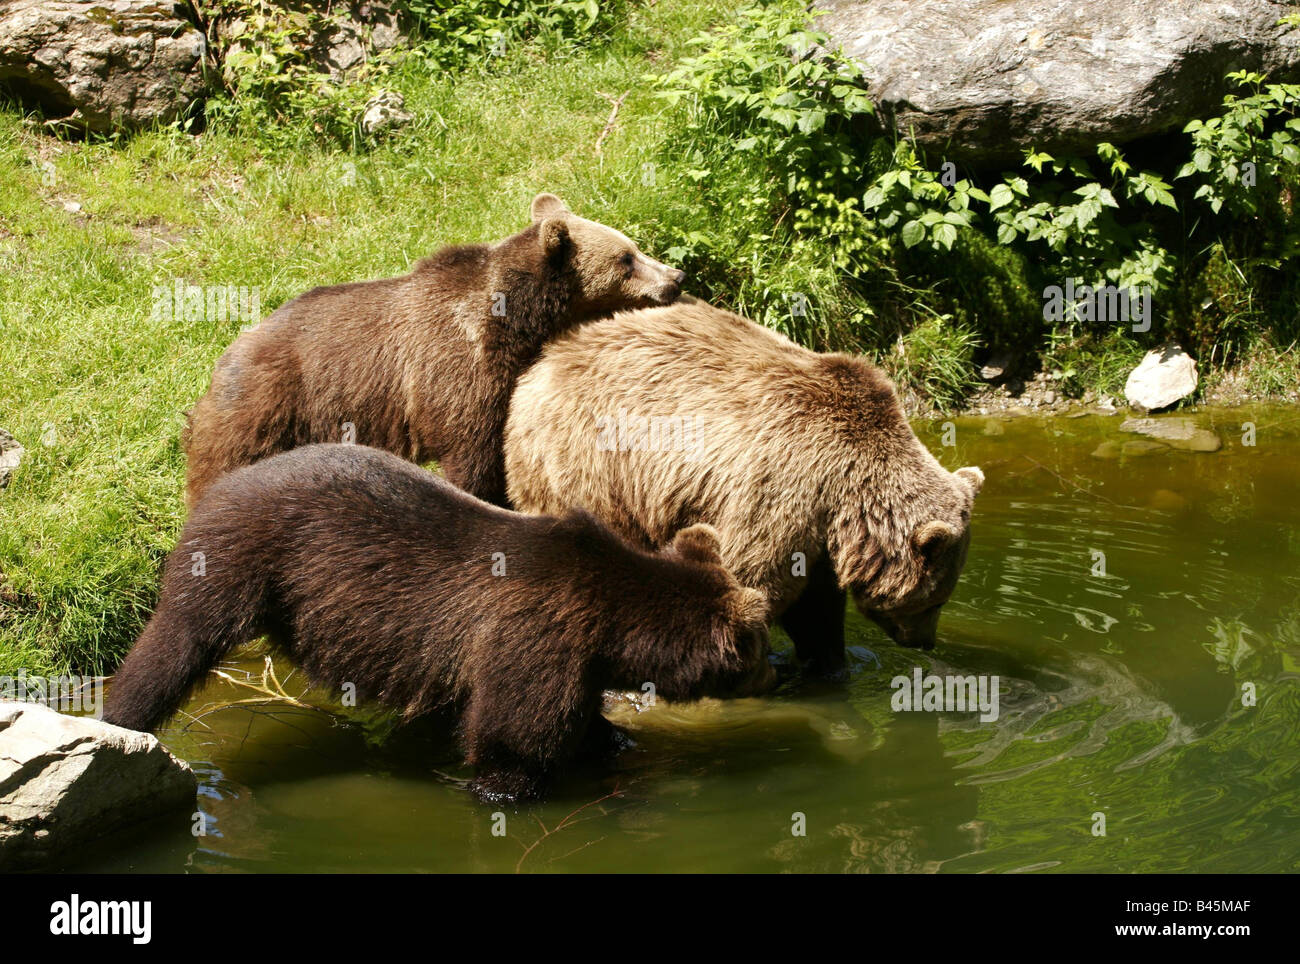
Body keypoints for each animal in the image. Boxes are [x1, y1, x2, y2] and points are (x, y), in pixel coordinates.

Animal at [102, 443, 774, 802]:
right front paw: (505, 786)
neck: (609, 626)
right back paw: (122, 720)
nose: (771, 674)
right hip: (242, 559)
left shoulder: (572, 661)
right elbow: (512, 735)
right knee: (176, 643)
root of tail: (222, 482)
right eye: (759, 645)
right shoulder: (534, 638)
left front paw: (612, 737)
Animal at [182, 193, 685, 509]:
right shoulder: (457, 371)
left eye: (634, 248)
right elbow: (473, 456)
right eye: (626, 259)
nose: (675, 277)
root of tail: (226, 355)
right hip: (268, 410)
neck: (515, 324)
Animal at [503, 299, 984, 673]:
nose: (924, 641)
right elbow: (751, 578)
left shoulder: (818, 531)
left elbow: (816, 609)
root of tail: (546, 358)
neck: (848, 494)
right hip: (591, 464)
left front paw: (828, 662)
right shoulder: (783, 486)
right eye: (935, 600)